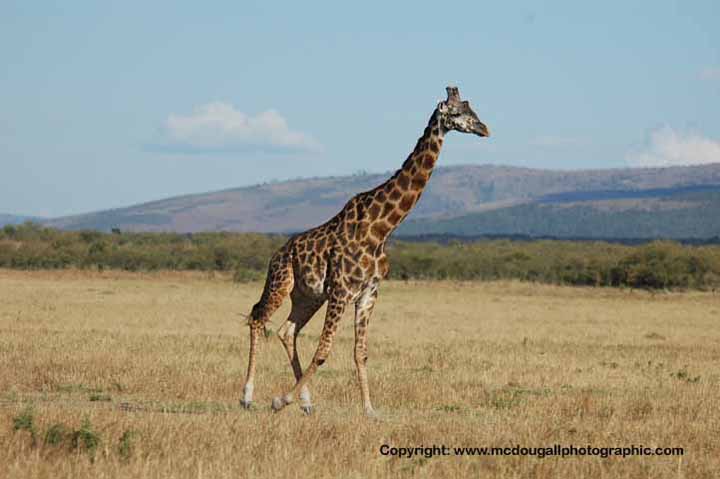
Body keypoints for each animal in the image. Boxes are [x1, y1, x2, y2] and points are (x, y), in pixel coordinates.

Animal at [240, 86, 490, 416]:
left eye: (473, 109)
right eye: (458, 112)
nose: (484, 129)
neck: (382, 228)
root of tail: (276, 254)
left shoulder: (368, 293)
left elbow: (361, 353)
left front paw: (370, 409)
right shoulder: (342, 291)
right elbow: (323, 351)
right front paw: (279, 400)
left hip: (309, 296)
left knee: (286, 330)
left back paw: (306, 401)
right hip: (282, 282)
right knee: (258, 319)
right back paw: (247, 396)